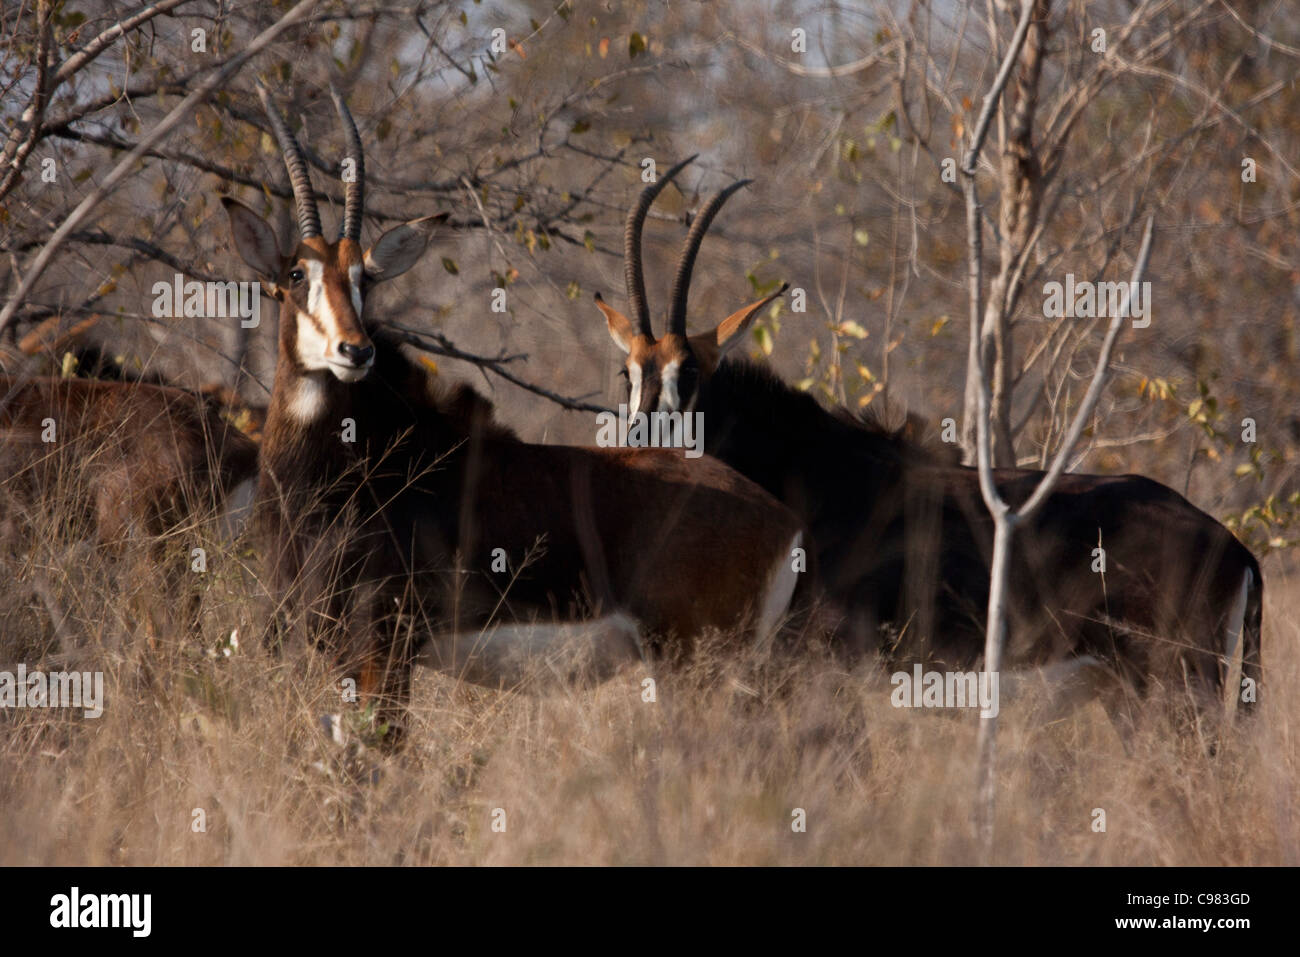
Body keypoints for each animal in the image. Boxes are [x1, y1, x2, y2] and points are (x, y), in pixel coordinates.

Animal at [223, 88, 807, 748]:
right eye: (296, 275)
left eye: (363, 278)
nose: (356, 351)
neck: (346, 466)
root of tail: (785, 523)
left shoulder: (386, 646)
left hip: (697, 668)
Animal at [593, 160, 1262, 741]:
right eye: (629, 374)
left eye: (691, 374)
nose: (642, 443)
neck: (801, 464)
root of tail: (1234, 548)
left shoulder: (817, 666)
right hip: (1130, 695)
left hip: (1174, 687)